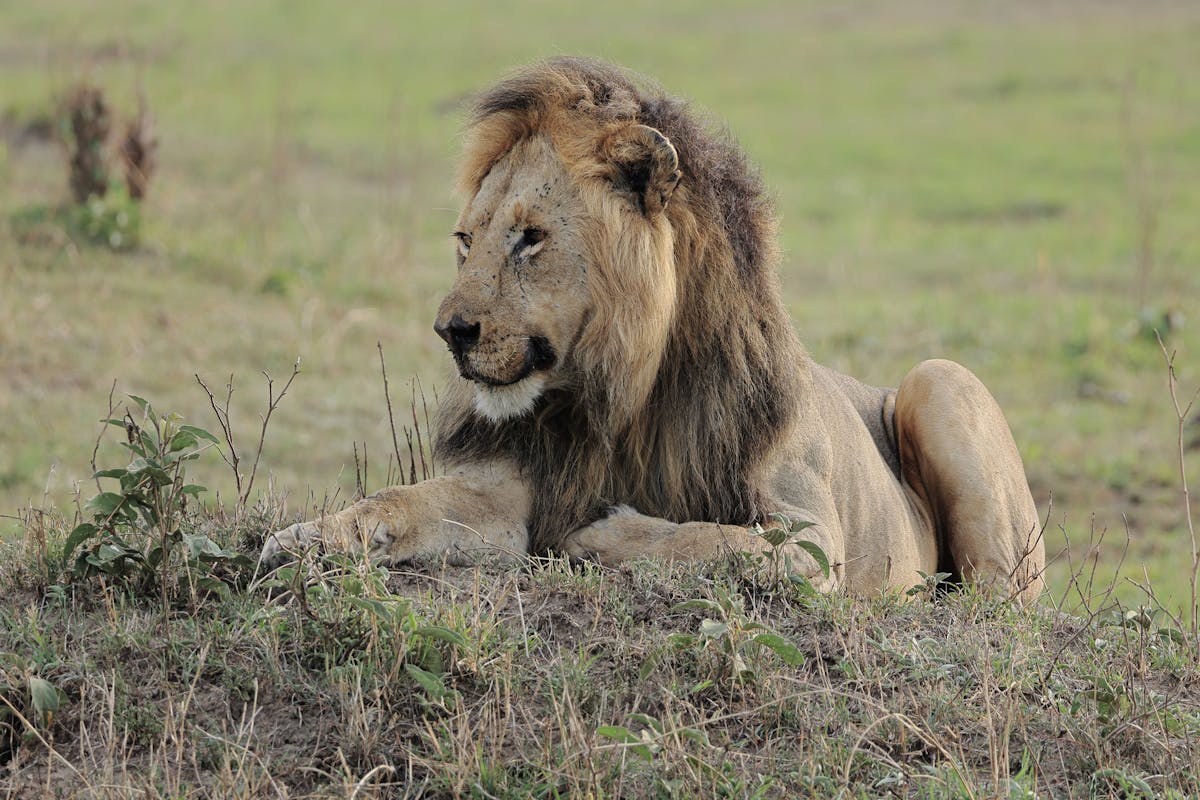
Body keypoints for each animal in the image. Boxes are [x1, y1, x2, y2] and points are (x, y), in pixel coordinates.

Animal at [261, 57, 1045, 603]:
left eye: (531, 238)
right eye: (465, 239)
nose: (449, 330)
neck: (617, 401)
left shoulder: (813, 542)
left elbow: (714, 543)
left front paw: (600, 537)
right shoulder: (512, 488)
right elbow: (401, 500)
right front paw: (306, 538)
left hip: (940, 381)